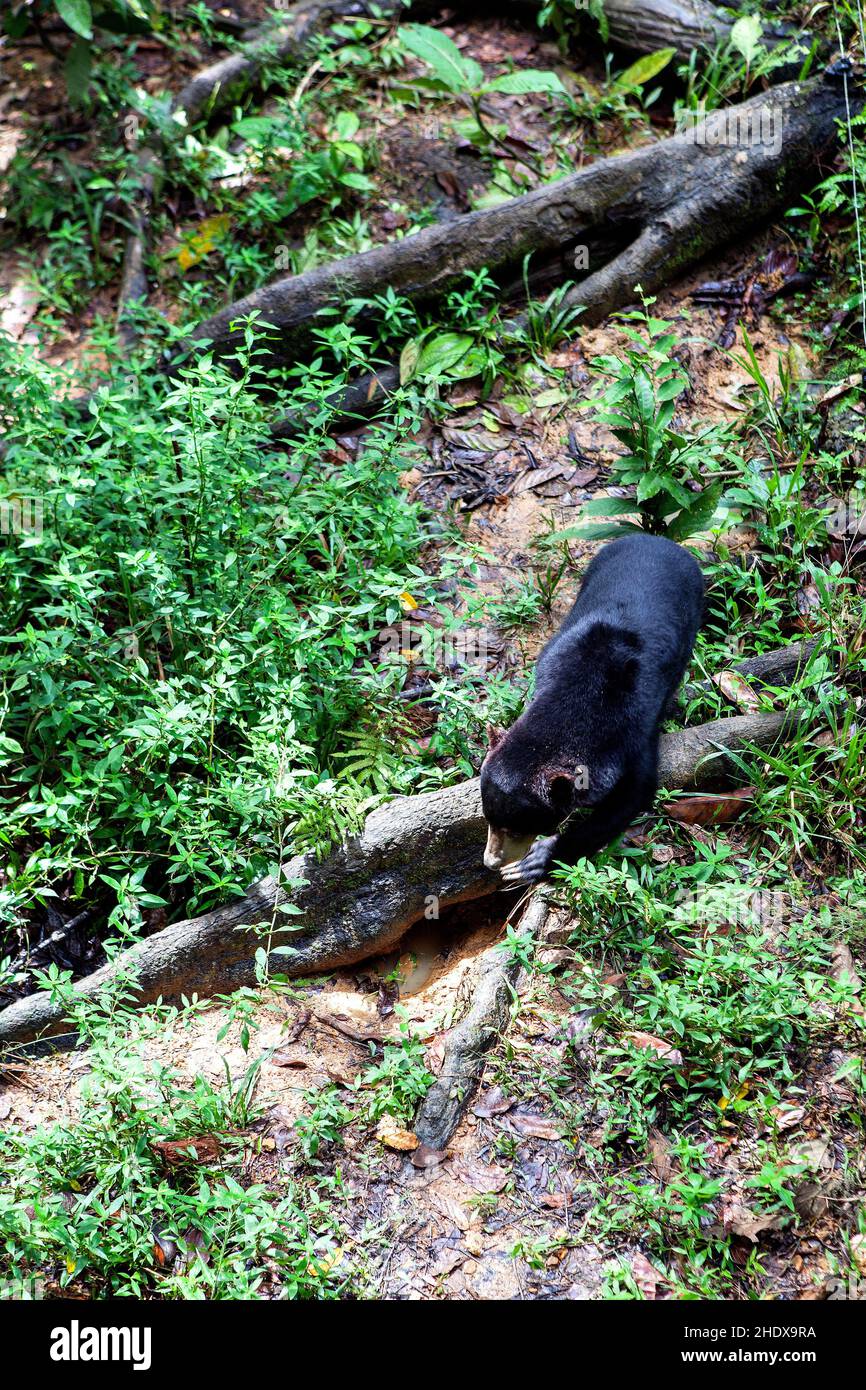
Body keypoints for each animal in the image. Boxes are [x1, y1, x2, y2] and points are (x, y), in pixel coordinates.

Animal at [480, 533, 705, 885]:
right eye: (489, 819)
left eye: (517, 829)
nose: (491, 862)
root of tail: (658, 539)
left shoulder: (632, 729)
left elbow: (634, 793)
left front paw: (539, 860)